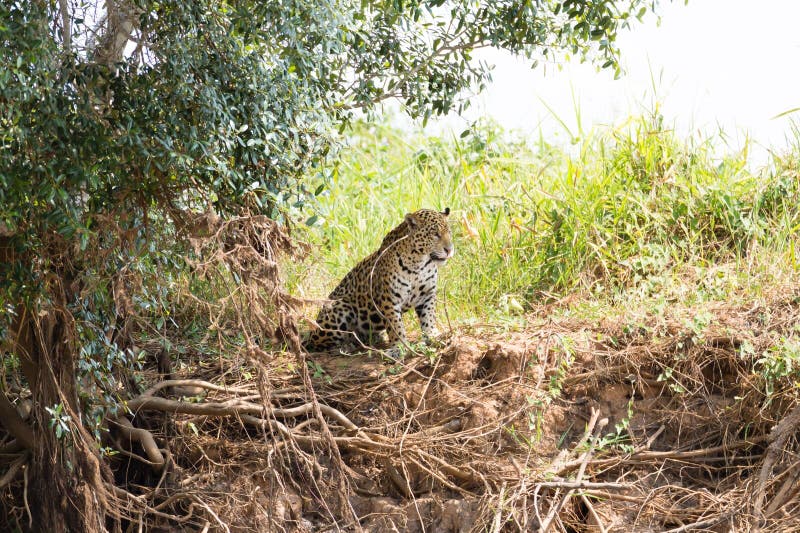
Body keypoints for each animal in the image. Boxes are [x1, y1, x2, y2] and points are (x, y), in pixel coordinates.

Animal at [304, 208, 454, 352]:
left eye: (449, 232)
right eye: (435, 234)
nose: (449, 250)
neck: (419, 264)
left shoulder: (427, 294)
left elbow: (428, 317)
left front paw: (432, 336)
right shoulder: (388, 299)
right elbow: (395, 326)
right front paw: (398, 347)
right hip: (339, 307)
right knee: (317, 343)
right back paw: (344, 346)